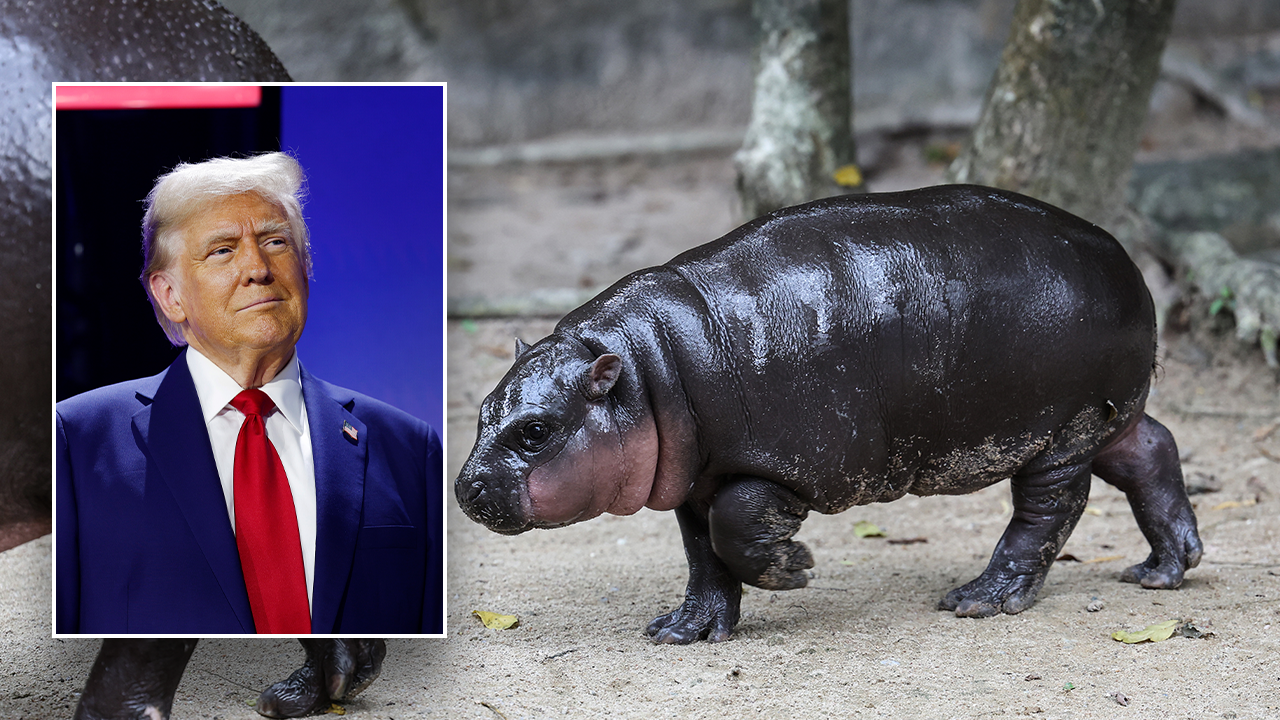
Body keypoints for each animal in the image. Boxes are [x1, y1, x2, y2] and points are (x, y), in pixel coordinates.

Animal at [456, 184, 1203, 644]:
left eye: (536, 430)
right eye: (483, 409)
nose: (464, 488)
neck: (647, 369)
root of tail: (1126, 260)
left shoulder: (790, 467)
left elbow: (735, 527)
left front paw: (796, 568)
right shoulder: (694, 482)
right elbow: (704, 554)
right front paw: (680, 631)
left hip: (1061, 431)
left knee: (1049, 510)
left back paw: (978, 599)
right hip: (1108, 417)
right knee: (1153, 450)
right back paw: (1163, 570)